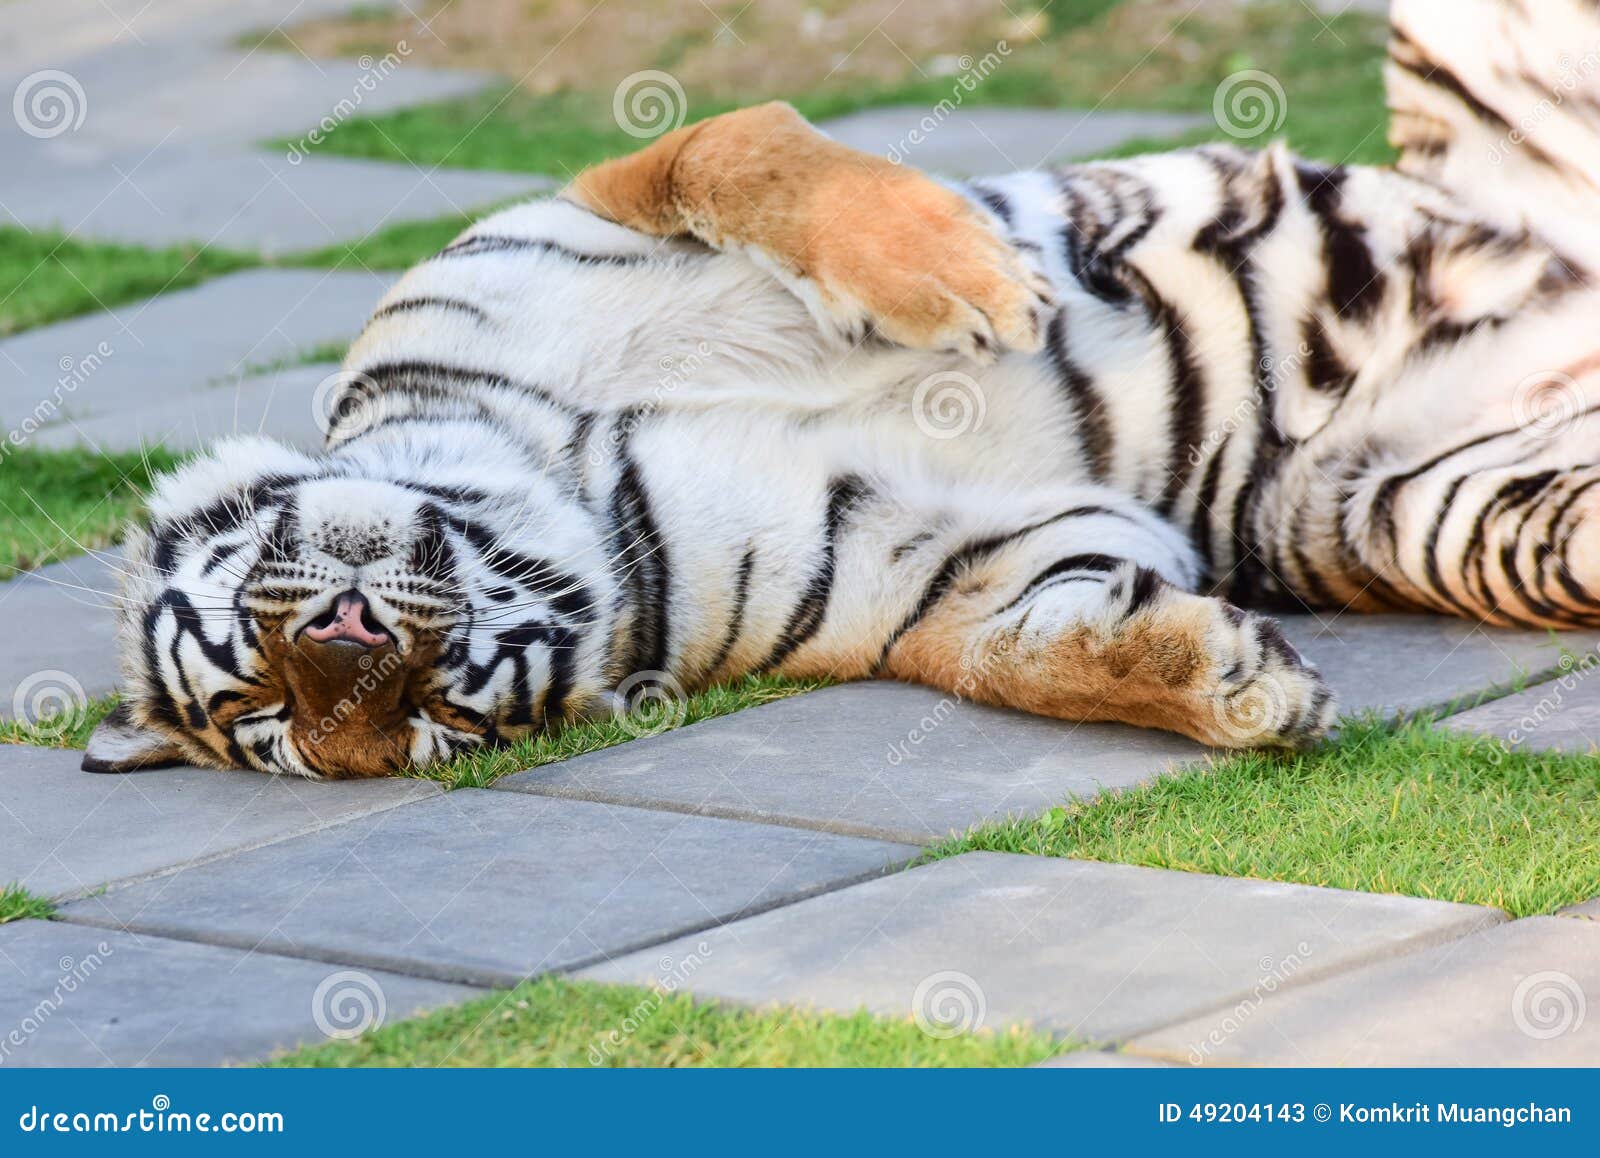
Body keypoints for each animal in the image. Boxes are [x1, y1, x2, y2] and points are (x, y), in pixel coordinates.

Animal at [82, 0, 1600, 779]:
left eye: (253, 667)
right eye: (288, 719)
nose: (349, 649)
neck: (570, 489)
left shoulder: (596, 200)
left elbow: (736, 153)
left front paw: (966, 278)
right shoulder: (950, 556)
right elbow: (1013, 652)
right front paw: (1228, 686)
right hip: (1475, 512)